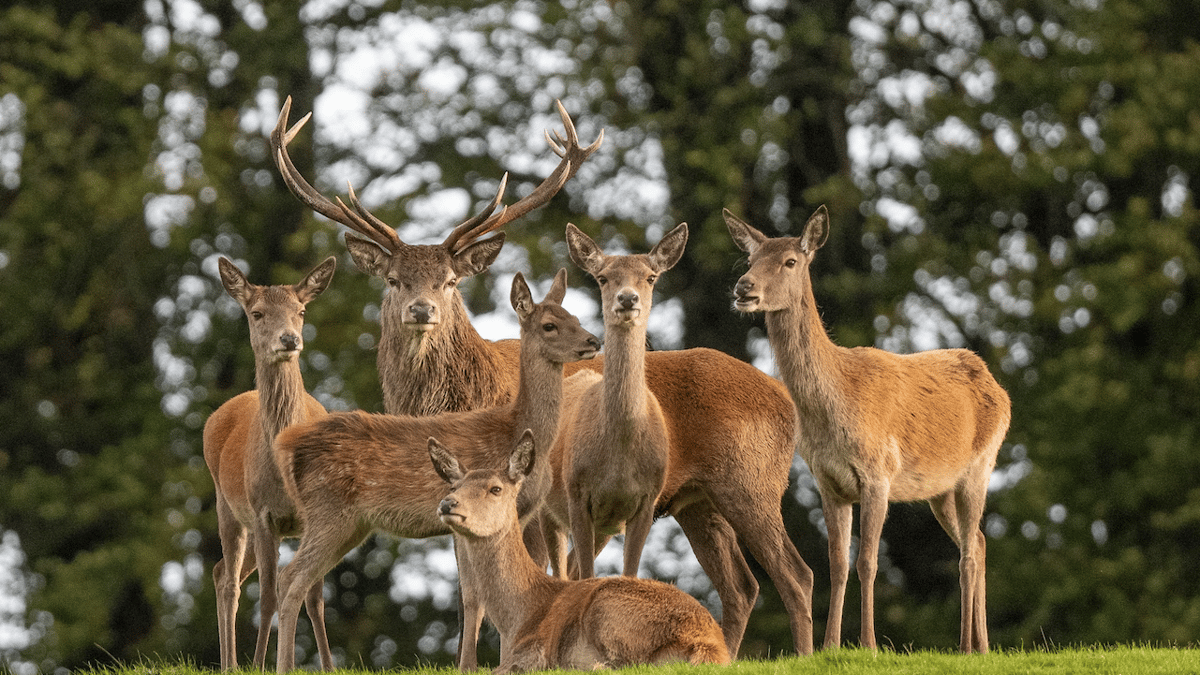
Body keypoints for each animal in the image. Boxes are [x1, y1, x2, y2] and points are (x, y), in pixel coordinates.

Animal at [202, 256, 337, 670]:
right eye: (257, 313)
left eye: (301, 311)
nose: (289, 339)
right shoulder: (263, 513)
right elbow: (269, 598)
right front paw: (263, 664)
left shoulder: (317, 514)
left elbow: (314, 598)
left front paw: (329, 666)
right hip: (226, 503)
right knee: (229, 580)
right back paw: (230, 664)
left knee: (220, 571)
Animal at [269, 270, 601, 673]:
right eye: (550, 325)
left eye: (576, 318)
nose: (593, 340)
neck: (514, 429)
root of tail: (287, 446)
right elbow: (473, 595)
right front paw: (469, 665)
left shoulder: (515, 515)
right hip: (329, 511)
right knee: (290, 578)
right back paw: (284, 665)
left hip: (348, 524)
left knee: (300, 582)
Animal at [431, 430, 731, 673]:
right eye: (454, 486)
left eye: (495, 488)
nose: (448, 503)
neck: (518, 618)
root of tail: (712, 646)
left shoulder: (534, 651)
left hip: (607, 611)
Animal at [543, 222, 686, 580]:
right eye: (603, 277)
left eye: (651, 277)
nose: (627, 298)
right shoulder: (576, 493)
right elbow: (587, 577)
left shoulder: (646, 501)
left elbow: (628, 574)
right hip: (547, 503)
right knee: (560, 572)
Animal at [723, 205, 1012, 653]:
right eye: (751, 260)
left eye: (790, 261)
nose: (743, 286)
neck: (837, 405)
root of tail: (996, 385)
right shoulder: (828, 482)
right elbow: (838, 562)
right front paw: (828, 646)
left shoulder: (879, 473)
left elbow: (868, 561)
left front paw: (870, 644)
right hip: (940, 489)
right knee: (978, 542)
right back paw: (982, 646)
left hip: (980, 464)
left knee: (967, 552)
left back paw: (966, 646)